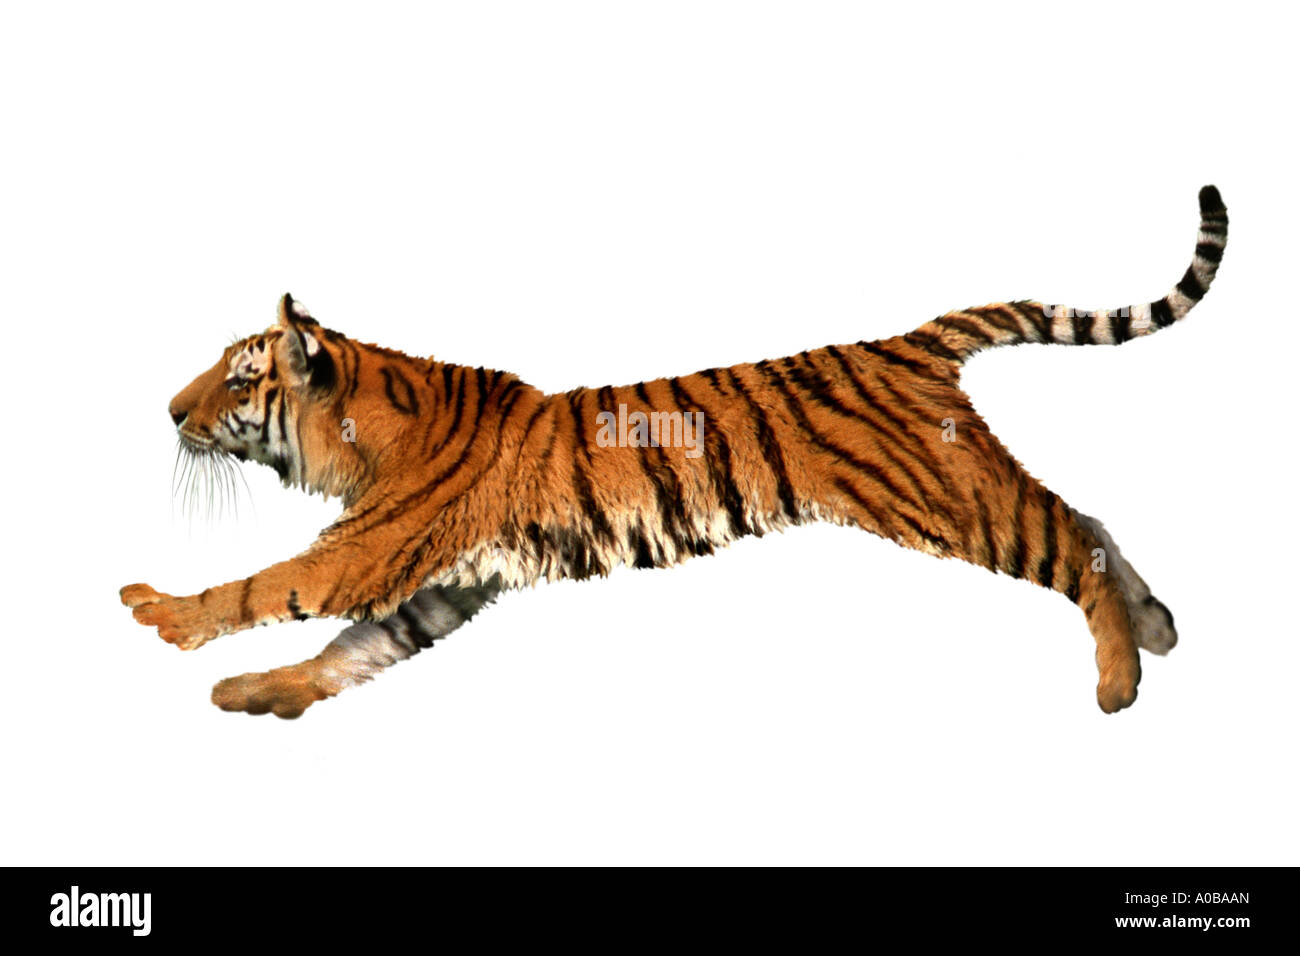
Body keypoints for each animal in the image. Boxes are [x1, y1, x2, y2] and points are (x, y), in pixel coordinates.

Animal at [121, 186, 1228, 718]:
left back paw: (1120, 678)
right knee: (1092, 518)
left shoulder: (370, 549)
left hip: (951, 501)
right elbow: (351, 651)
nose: (167, 411)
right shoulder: (450, 580)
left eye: (237, 380)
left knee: (1074, 538)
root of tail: (912, 338)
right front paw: (261, 695)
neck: (363, 427)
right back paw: (1161, 629)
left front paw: (165, 617)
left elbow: (264, 586)